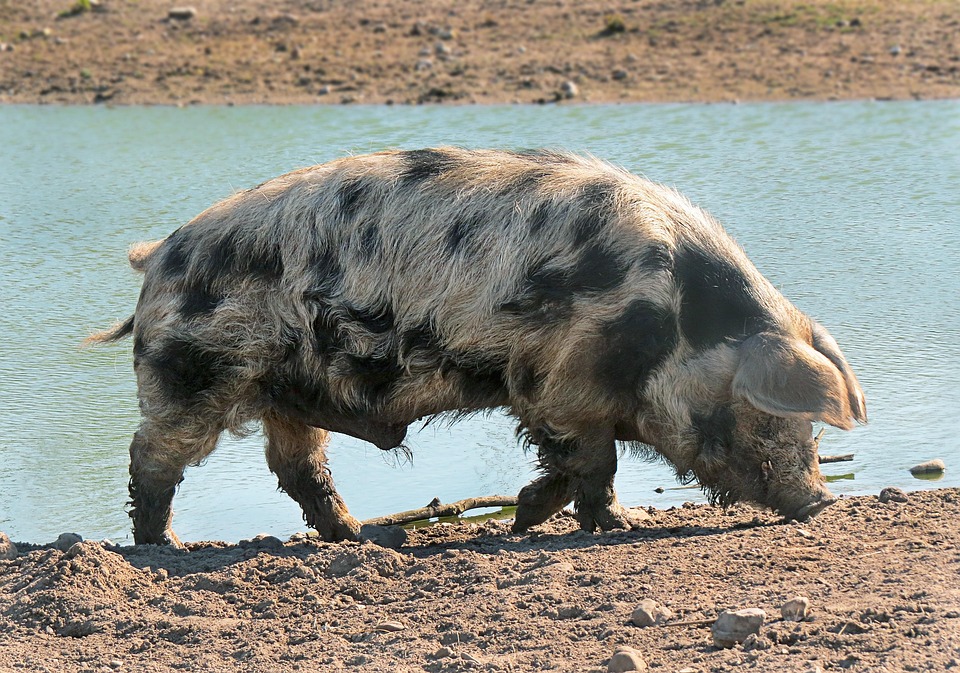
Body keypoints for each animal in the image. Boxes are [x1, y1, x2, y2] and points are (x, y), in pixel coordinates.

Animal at [88, 147, 866, 545]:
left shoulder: (560, 394)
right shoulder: (558, 382)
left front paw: (529, 515)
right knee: (150, 456)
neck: (666, 320)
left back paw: (359, 535)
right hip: (194, 372)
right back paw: (165, 545)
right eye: (770, 413)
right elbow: (595, 462)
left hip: (286, 389)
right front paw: (601, 521)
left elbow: (579, 465)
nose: (820, 502)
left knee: (298, 465)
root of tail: (160, 255)